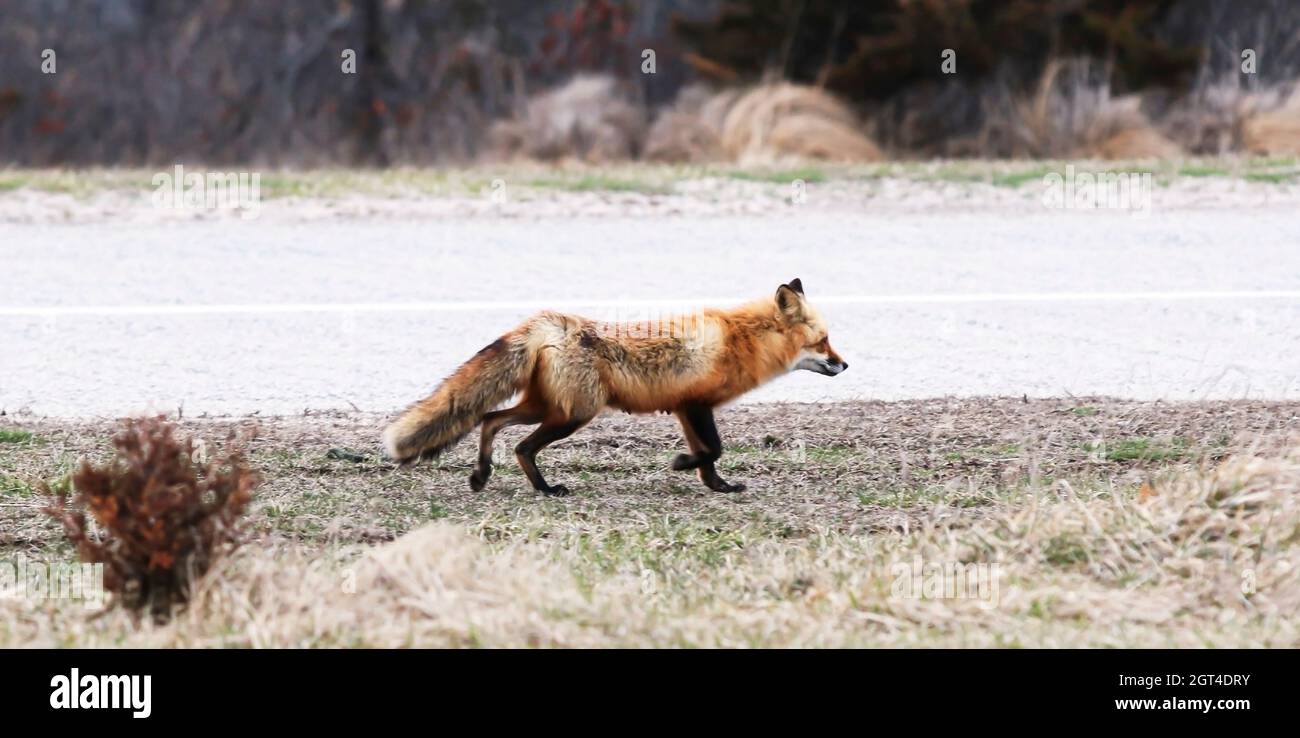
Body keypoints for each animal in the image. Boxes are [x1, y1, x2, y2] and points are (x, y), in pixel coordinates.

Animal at [382, 278, 847, 496]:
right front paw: (683, 464)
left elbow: (710, 458)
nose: (844, 364)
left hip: (545, 408)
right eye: (823, 341)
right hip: (572, 415)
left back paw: (483, 475)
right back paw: (545, 489)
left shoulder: (685, 408)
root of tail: (548, 322)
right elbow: (712, 450)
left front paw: (717, 486)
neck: (742, 340)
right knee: (520, 445)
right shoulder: (697, 405)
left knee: (491, 420)